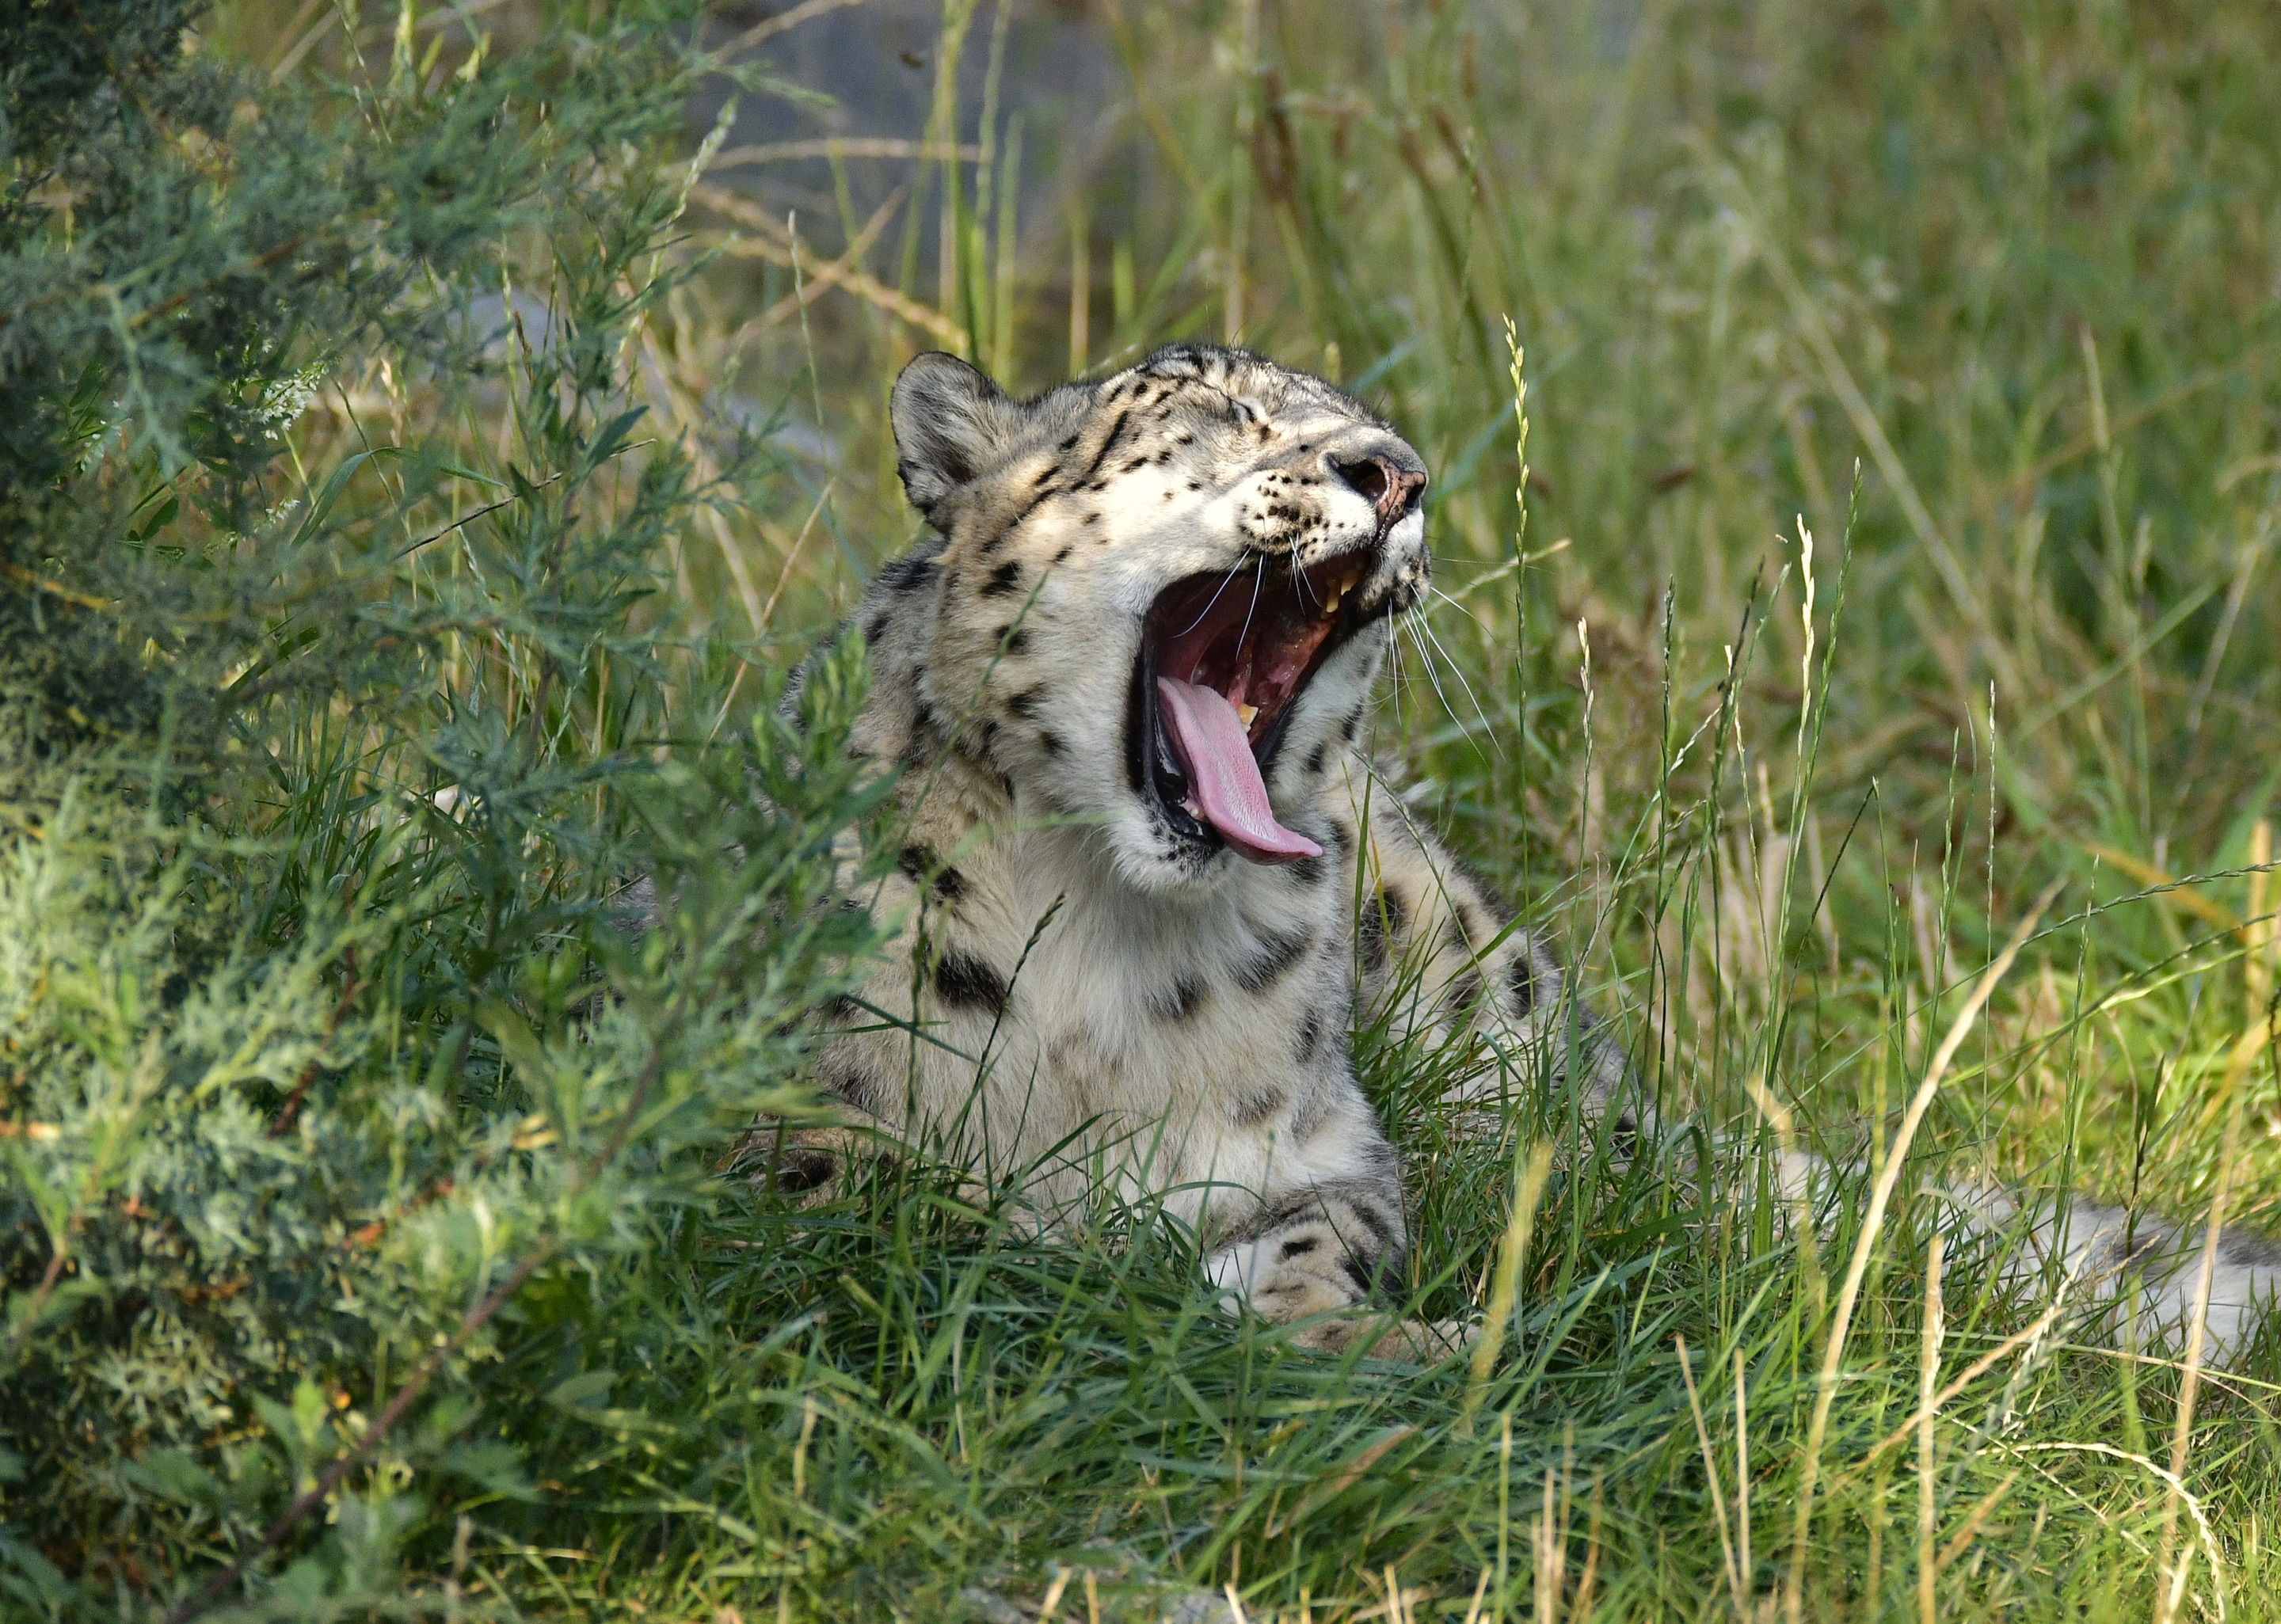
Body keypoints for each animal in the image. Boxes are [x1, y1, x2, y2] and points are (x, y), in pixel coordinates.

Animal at [751, 341, 2281, 1368]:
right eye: (1216, 413)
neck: (1105, 943)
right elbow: (893, 1201)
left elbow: (1328, 1231)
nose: (1395, 473)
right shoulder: (787, 1123)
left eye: (1379, 435)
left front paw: (1350, 1336)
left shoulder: (1324, 1152)